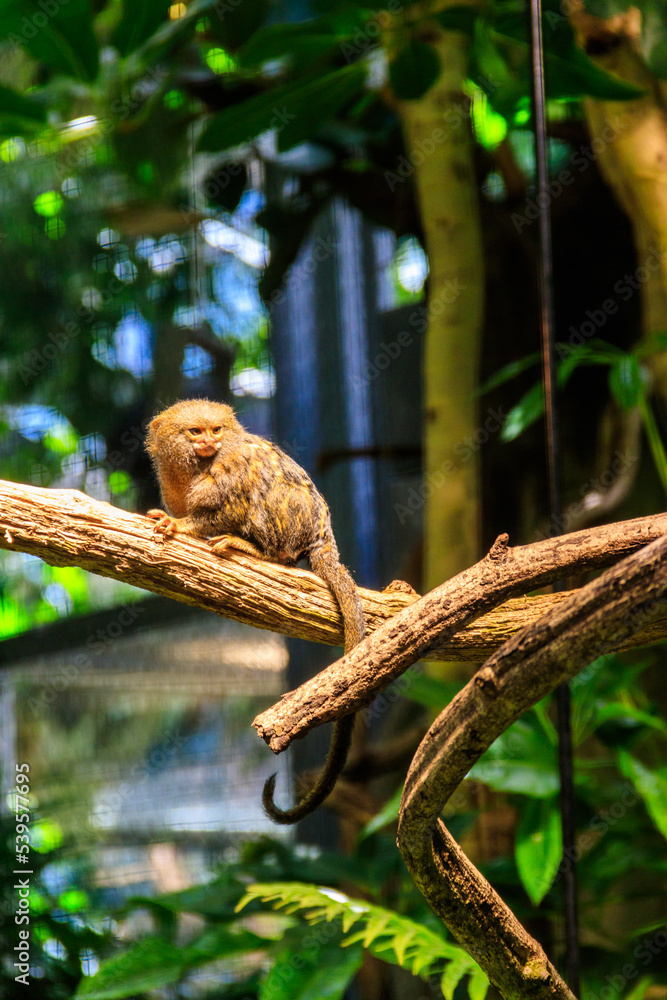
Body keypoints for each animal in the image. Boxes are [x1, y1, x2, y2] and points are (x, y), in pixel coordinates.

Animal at [144, 398, 365, 824]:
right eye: (195, 432)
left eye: (215, 430)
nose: (209, 442)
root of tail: (322, 533)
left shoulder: (230, 471)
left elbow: (224, 509)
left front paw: (182, 527)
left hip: (289, 519)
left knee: (267, 515)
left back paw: (254, 549)